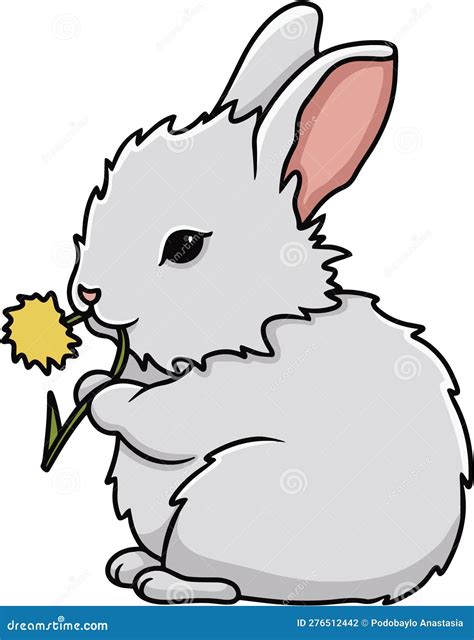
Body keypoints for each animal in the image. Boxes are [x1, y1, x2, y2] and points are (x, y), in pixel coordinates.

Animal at [69, 2, 471, 605]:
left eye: (184, 246)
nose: (87, 294)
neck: (260, 319)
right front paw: (90, 382)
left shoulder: (226, 392)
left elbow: (156, 419)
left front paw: (99, 396)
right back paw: (130, 563)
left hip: (216, 504)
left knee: (229, 585)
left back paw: (160, 580)